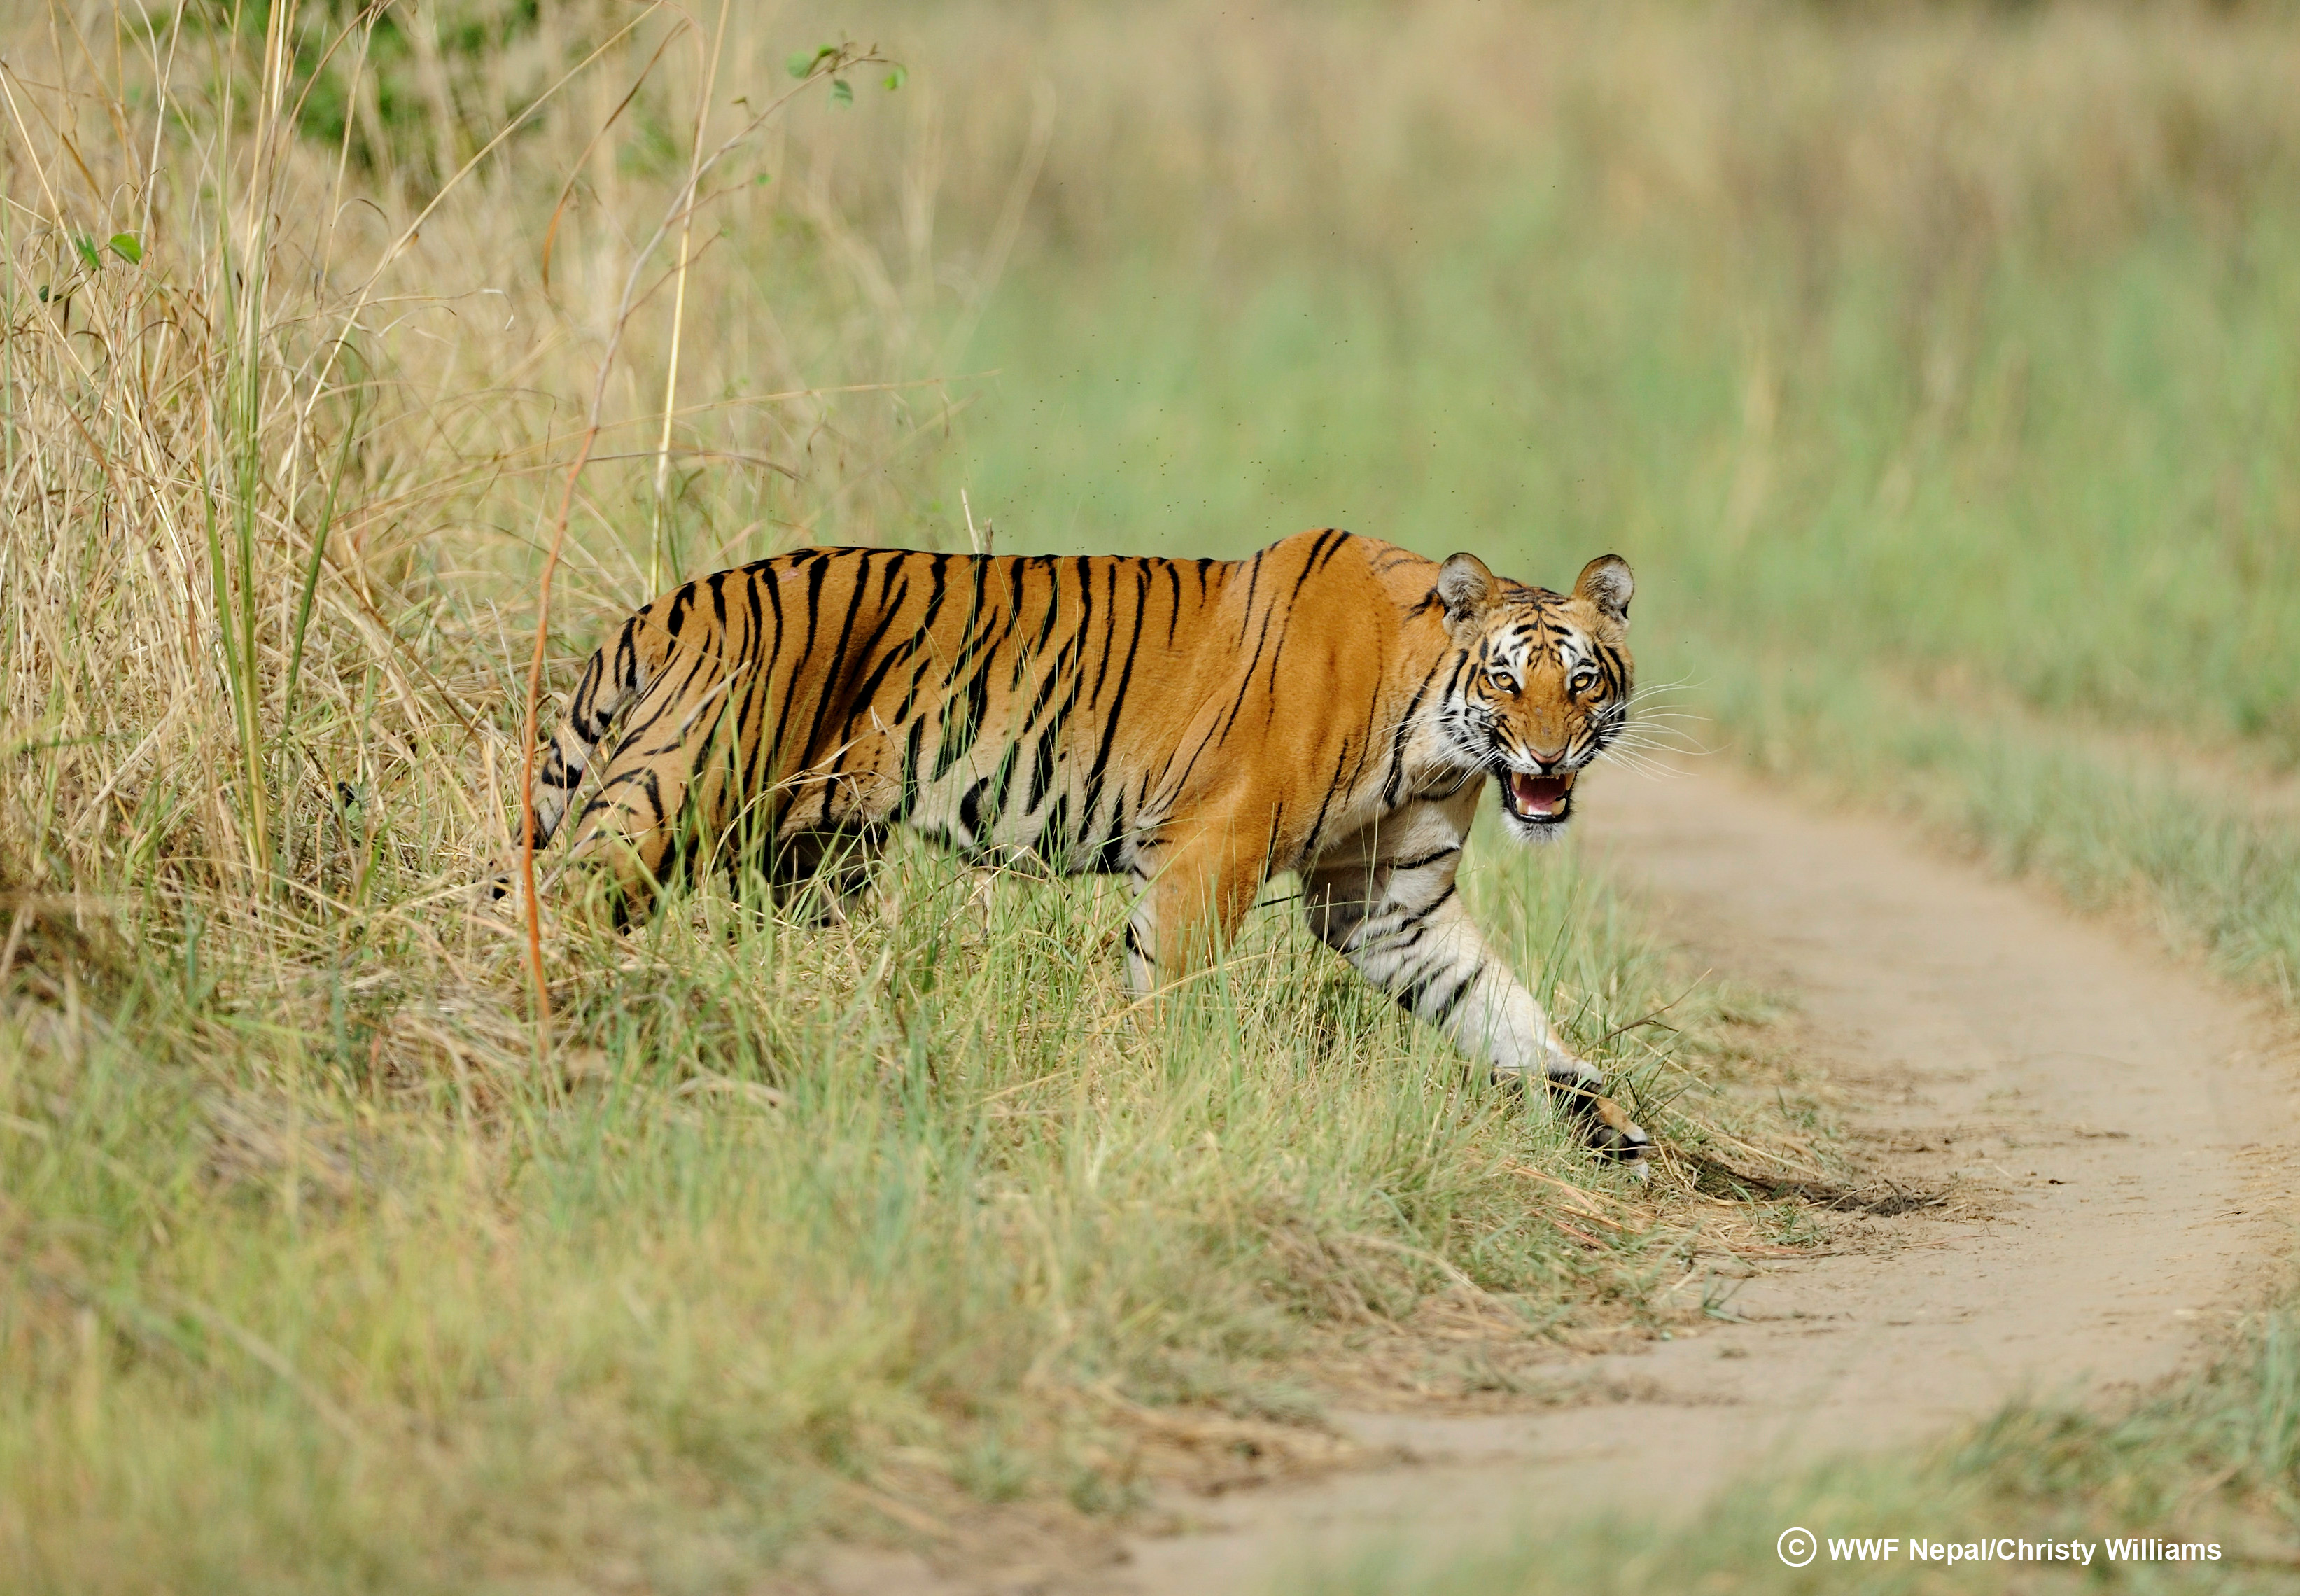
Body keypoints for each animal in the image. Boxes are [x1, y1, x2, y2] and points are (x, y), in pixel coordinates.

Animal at [516, 528, 1651, 1165]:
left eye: (1580, 680)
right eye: (1505, 679)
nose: (1548, 755)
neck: (1432, 740)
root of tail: (673, 604)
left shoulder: (1387, 902)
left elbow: (1497, 1007)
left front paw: (1605, 1121)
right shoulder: (1209, 853)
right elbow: (1172, 999)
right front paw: (1173, 1110)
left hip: (812, 858)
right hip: (671, 800)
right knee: (562, 905)